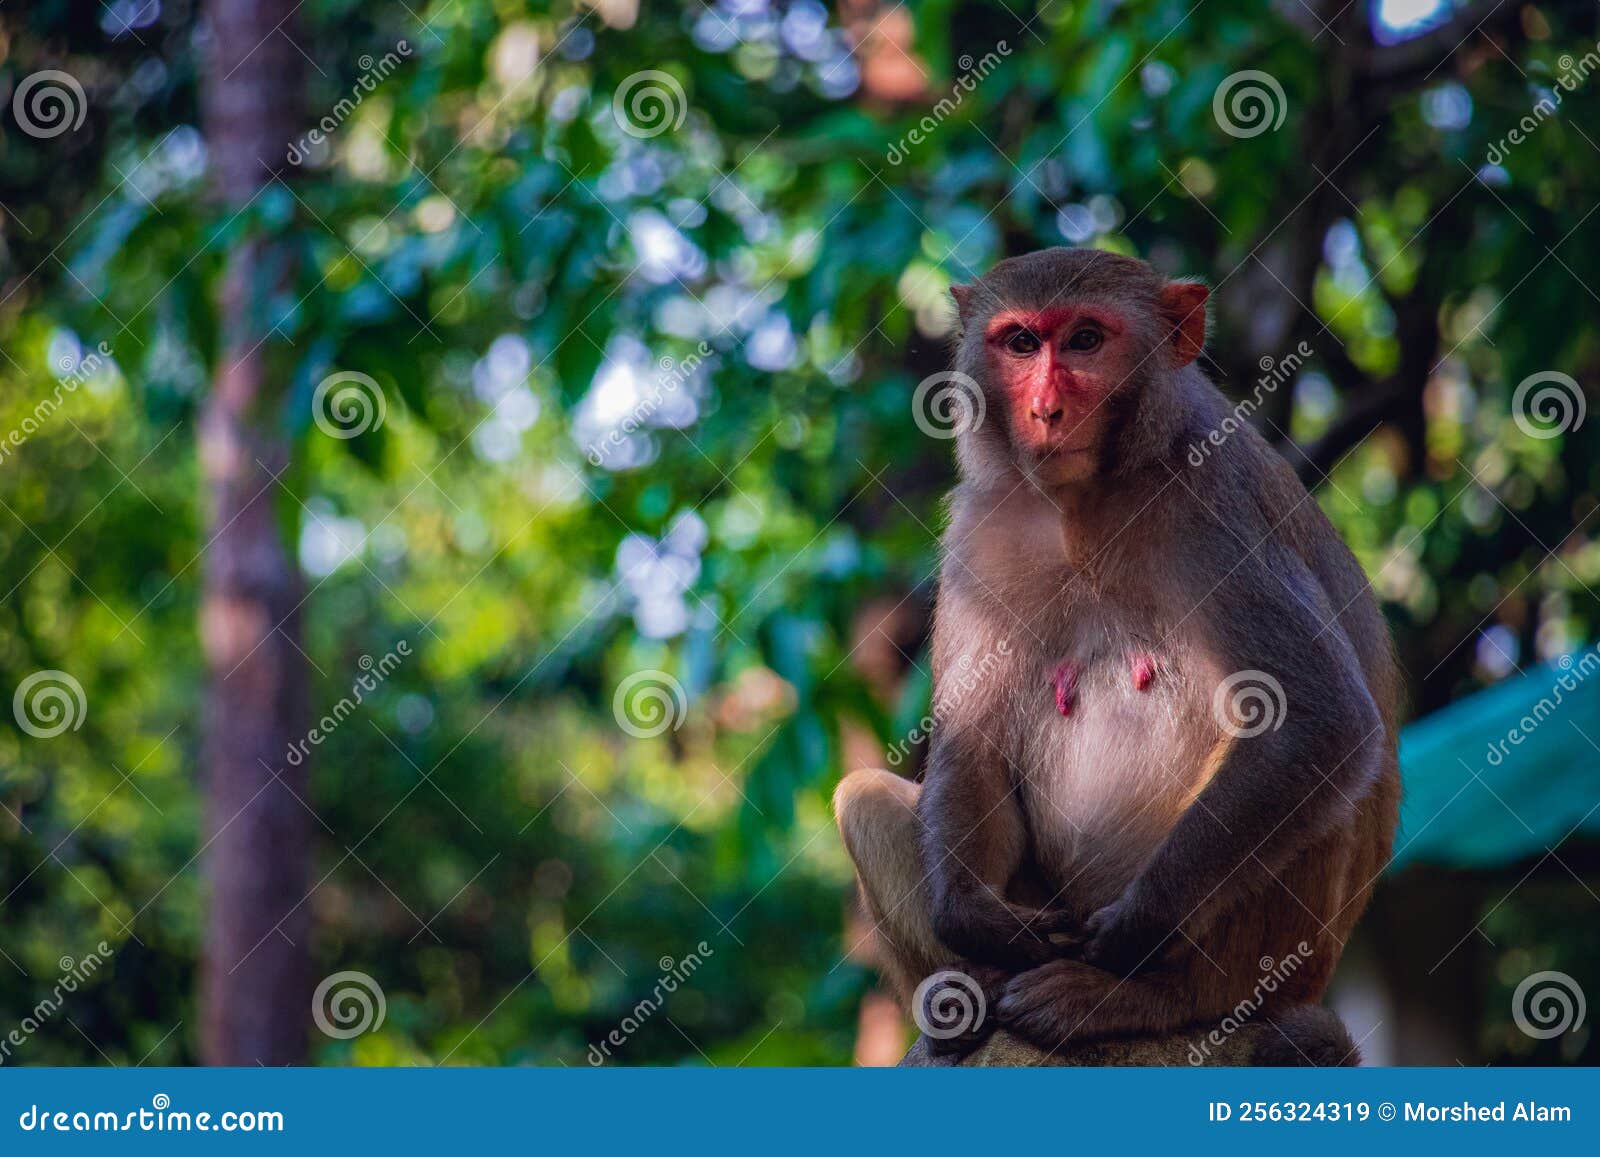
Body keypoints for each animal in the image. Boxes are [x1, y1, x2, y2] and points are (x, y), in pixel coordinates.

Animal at [834, 247, 1399, 1063]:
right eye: (1020, 343)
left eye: (1086, 341)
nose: (1046, 409)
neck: (1088, 499)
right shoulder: (981, 528)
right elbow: (973, 741)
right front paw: (976, 918)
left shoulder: (1209, 506)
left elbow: (1320, 717)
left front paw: (1136, 932)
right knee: (863, 798)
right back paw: (963, 998)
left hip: (1270, 961)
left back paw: (1139, 997)